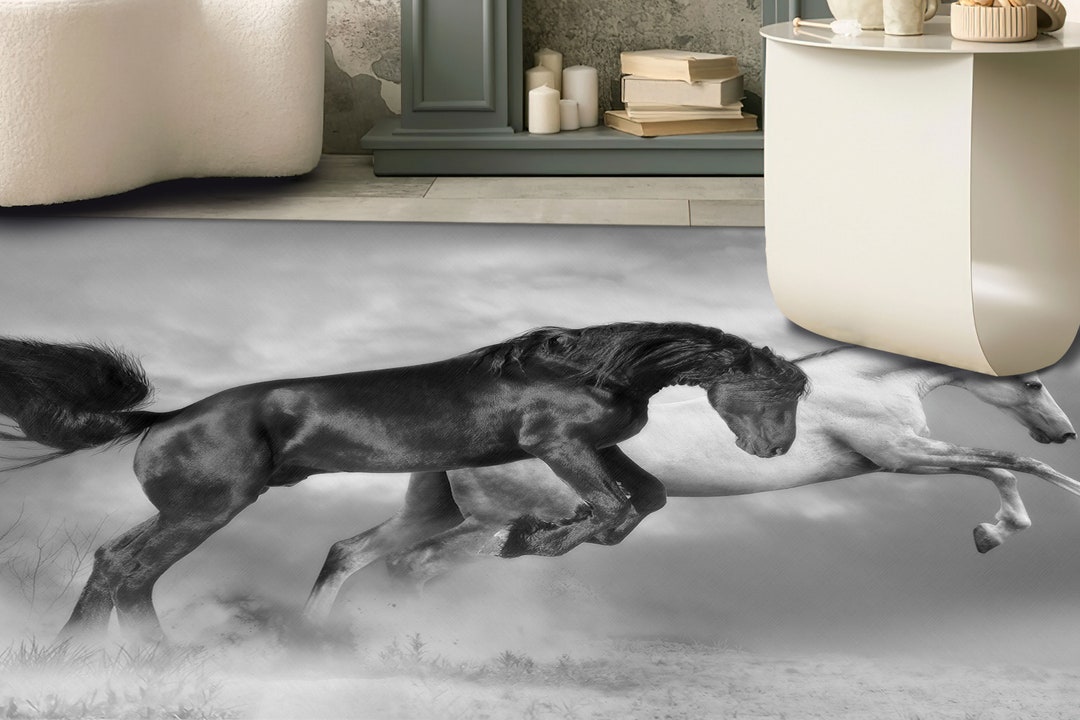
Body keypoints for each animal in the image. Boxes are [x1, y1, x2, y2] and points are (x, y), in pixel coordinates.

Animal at [0, 323, 809, 640]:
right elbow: (612, 508)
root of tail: (162, 419)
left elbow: (644, 500)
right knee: (135, 574)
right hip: (204, 514)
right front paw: (535, 538)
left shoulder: (594, 449)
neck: (590, 367)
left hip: (184, 512)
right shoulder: (560, 444)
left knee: (112, 561)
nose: (774, 449)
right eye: (777, 391)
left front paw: (537, 535)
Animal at [299, 345, 1077, 622]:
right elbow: (1011, 465)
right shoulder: (903, 456)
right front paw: (1007, 525)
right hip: (489, 526)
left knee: (354, 554)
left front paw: (991, 533)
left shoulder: (905, 457)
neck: (865, 381)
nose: (1063, 431)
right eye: (1034, 382)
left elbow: (1000, 467)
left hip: (443, 512)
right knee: (412, 566)